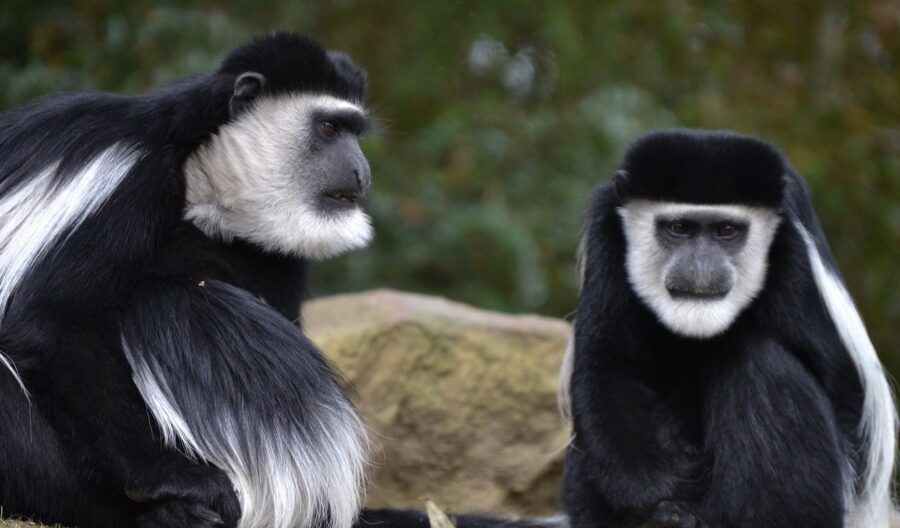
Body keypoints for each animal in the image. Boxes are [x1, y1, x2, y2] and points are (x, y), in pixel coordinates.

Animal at [0, 32, 373, 528]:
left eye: (355, 132)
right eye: (330, 129)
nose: (361, 171)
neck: (199, 177)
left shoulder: (274, 254)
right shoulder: (129, 178)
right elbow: (51, 323)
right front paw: (182, 480)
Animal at [557, 129, 897, 528]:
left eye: (726, 230)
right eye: (679, 228)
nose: (701, 267)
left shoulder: (793, 249)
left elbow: (849, 405)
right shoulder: (606, 232)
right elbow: (610, 364)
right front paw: (654, 497)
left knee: (760, 361)